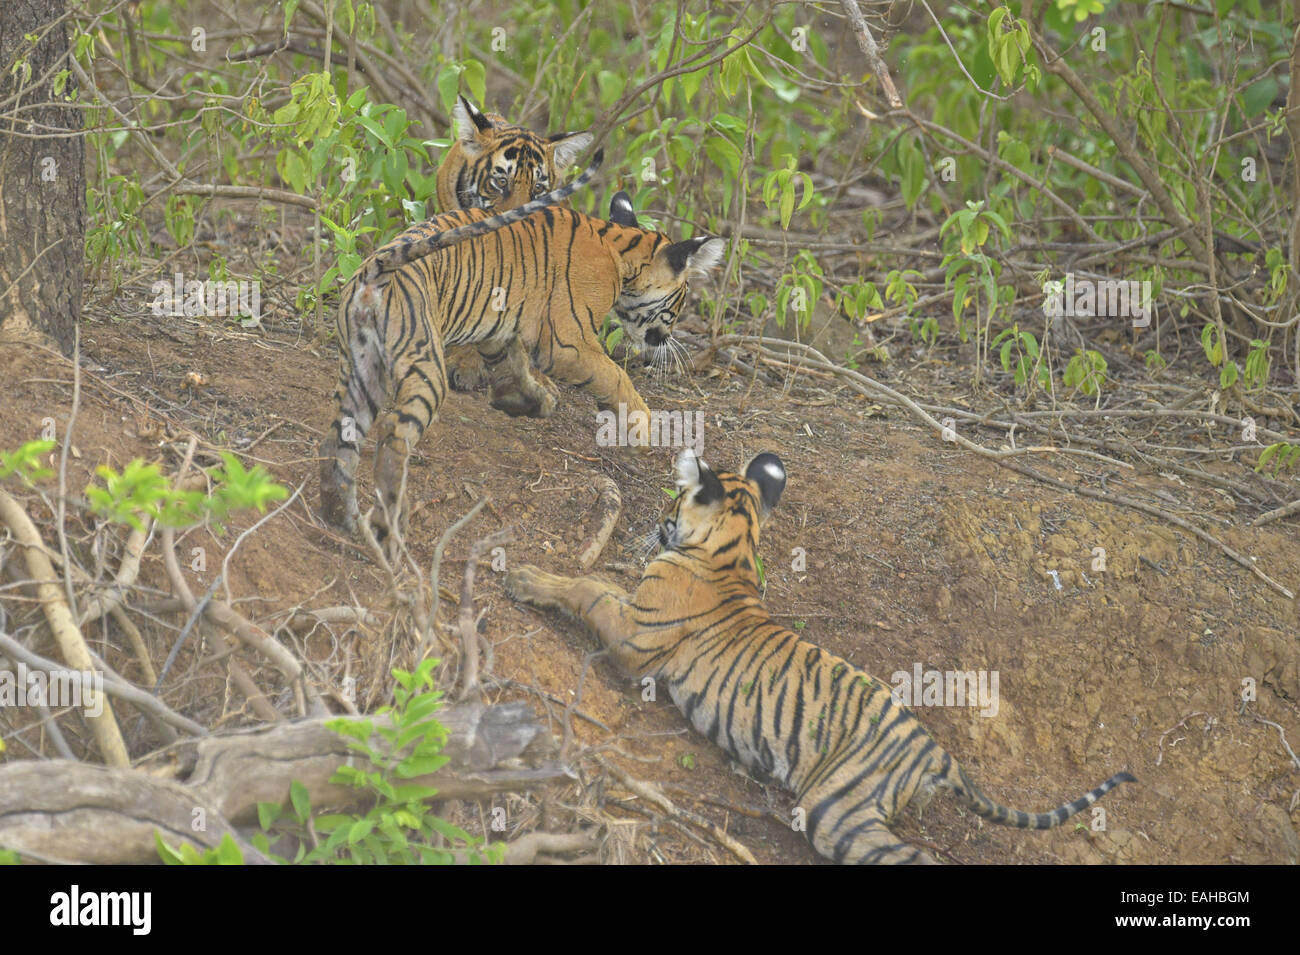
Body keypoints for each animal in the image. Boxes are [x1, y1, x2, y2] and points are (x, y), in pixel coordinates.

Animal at [318, 154, 727, 540]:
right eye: (681, 300)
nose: (669, 337)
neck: (620, 250)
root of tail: (376, 269)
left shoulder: (499, 327)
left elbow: (513, 367)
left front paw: (531, 402)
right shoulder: (567, 342)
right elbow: (614, 376)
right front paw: (643, 431)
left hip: (360, 372)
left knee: (339, 439)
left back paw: (341, 515)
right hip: (423, 366)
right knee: (393, 433)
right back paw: (385, 523)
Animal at [505, 448, 1137, 864]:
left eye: (679, 496)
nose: (658, 521)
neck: (733, 551)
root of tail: (937, 754)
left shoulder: (635, 637)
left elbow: (587, 589)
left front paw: (527, 577)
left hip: (838, 809)